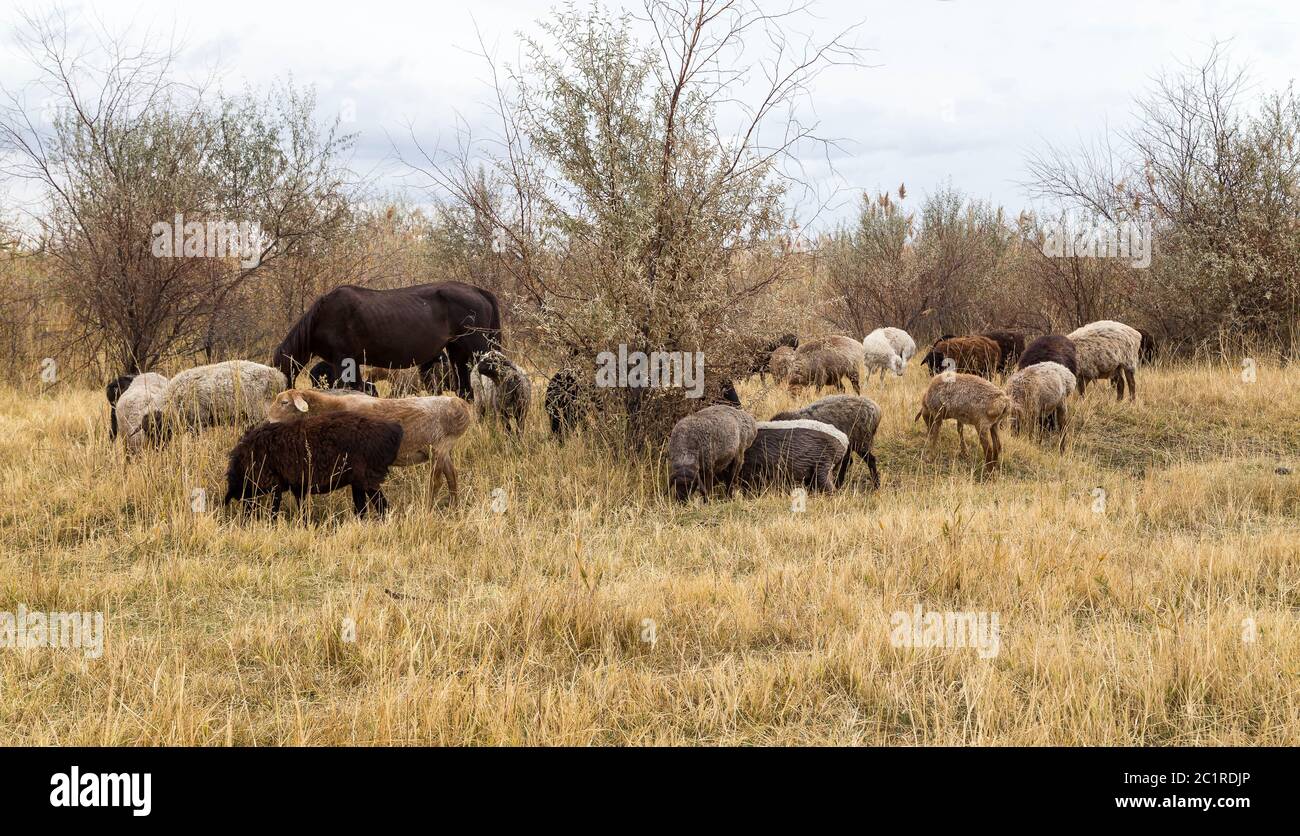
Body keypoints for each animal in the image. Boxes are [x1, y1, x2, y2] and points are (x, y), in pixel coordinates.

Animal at [224, 413, 403, 518]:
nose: (246, 519)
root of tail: (395, 431)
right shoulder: (298, 485)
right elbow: (302, 509)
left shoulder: (275, 483)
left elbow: (275, 508)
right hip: (358, 481)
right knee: (363, 508)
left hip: (368, 478)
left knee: (382, 506)